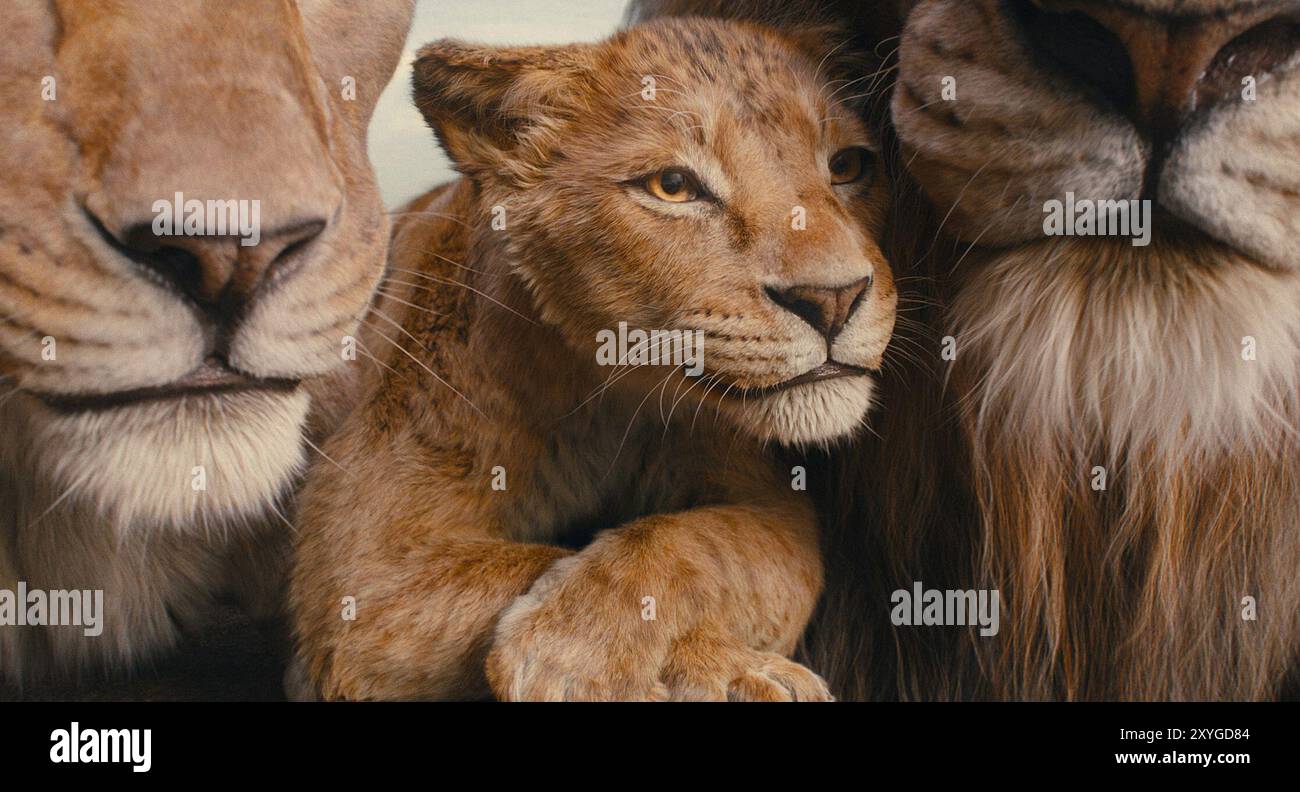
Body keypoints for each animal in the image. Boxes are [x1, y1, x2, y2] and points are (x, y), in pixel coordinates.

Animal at [287, 16, 897, 701]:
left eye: (848, 165)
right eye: (672, 186)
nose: (833, 299)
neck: (606, 395)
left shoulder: (767, 504)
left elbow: (712, 546)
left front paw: (578, 642)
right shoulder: (363, 563)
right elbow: (522, 563)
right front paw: (596, 657)